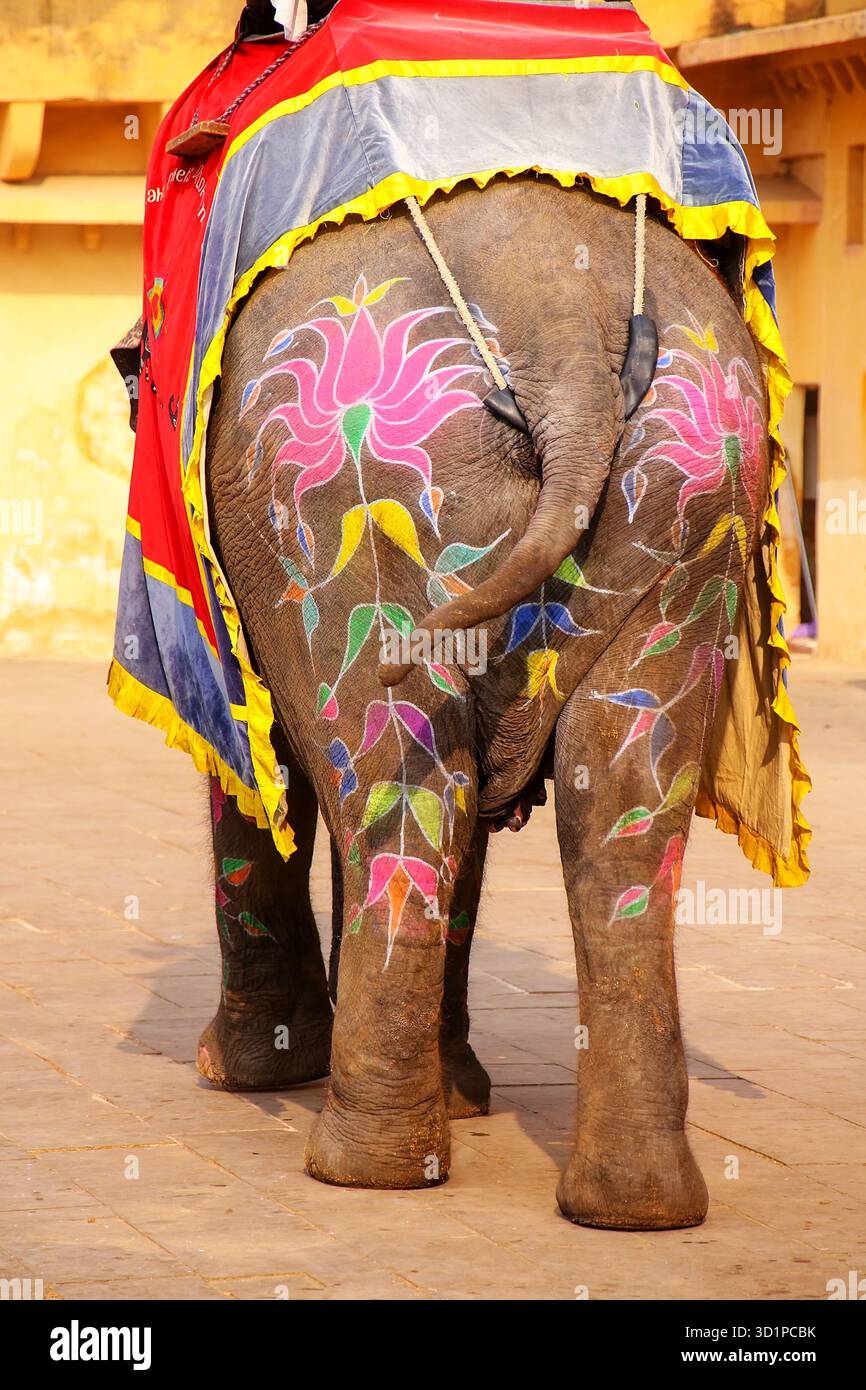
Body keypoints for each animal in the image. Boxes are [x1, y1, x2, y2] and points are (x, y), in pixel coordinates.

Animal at [194, 176, 771, 1230]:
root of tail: (565, 333)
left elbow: (250, 759)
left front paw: (243, 1074)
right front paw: (463, 1099)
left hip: (342, 503)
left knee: (403, 776)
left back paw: (359, 1170)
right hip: (699, 499)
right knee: (612, 799)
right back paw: (633, 1207)